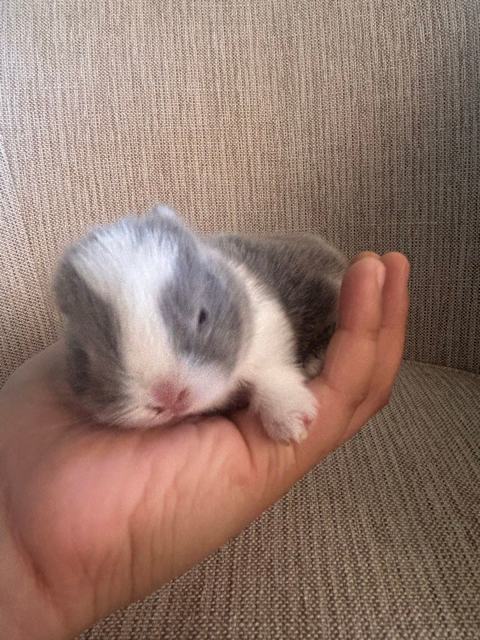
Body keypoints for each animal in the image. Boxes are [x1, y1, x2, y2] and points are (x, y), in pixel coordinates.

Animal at [54, 205, 346, 442]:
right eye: (87, 355)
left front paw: (291, 426)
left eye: (202, 317)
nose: (169, 398)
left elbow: (272, 375)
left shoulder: (270, 329)